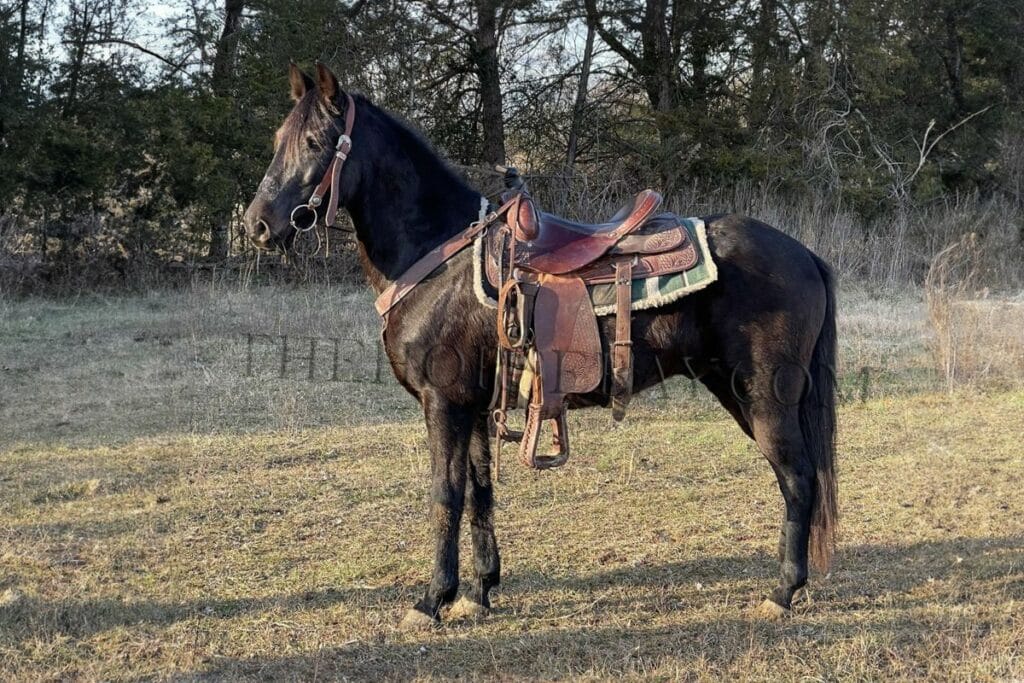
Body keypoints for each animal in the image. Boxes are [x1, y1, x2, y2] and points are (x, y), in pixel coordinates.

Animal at [242, 63, 838, 629]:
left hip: (764, 397)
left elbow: (445, 495)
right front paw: (480, 592)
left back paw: (782, 592)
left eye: (315, 142)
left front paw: (432, 600)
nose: (257, 226)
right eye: (277, 138)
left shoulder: (444, 403)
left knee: (797, 478)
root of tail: (804, 254)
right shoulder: (475, 406)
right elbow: (480, 491)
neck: (440, 256)